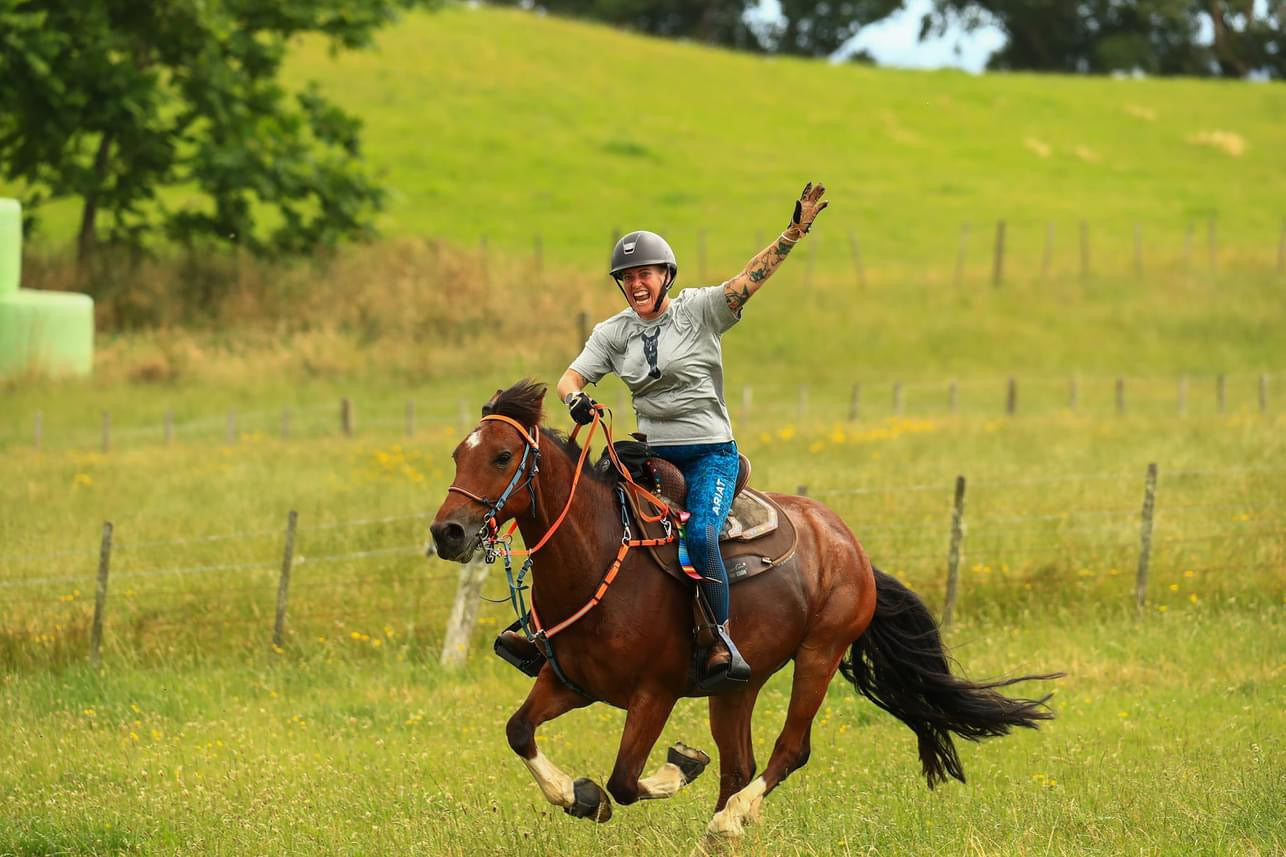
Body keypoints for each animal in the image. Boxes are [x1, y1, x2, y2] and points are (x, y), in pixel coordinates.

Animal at [429, 379, 1060, 840]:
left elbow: (627, 780)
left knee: (789, 751)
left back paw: (730, 819)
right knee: (740, 763)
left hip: (819, 655)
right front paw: (579, 797)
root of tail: (850, 545)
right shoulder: (570, 682)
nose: (447, 532)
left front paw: (678, 765)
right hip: (737, 684)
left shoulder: (654, 693)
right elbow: (519, 731)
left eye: (503, 456)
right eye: (458, 454)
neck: (601, 553)